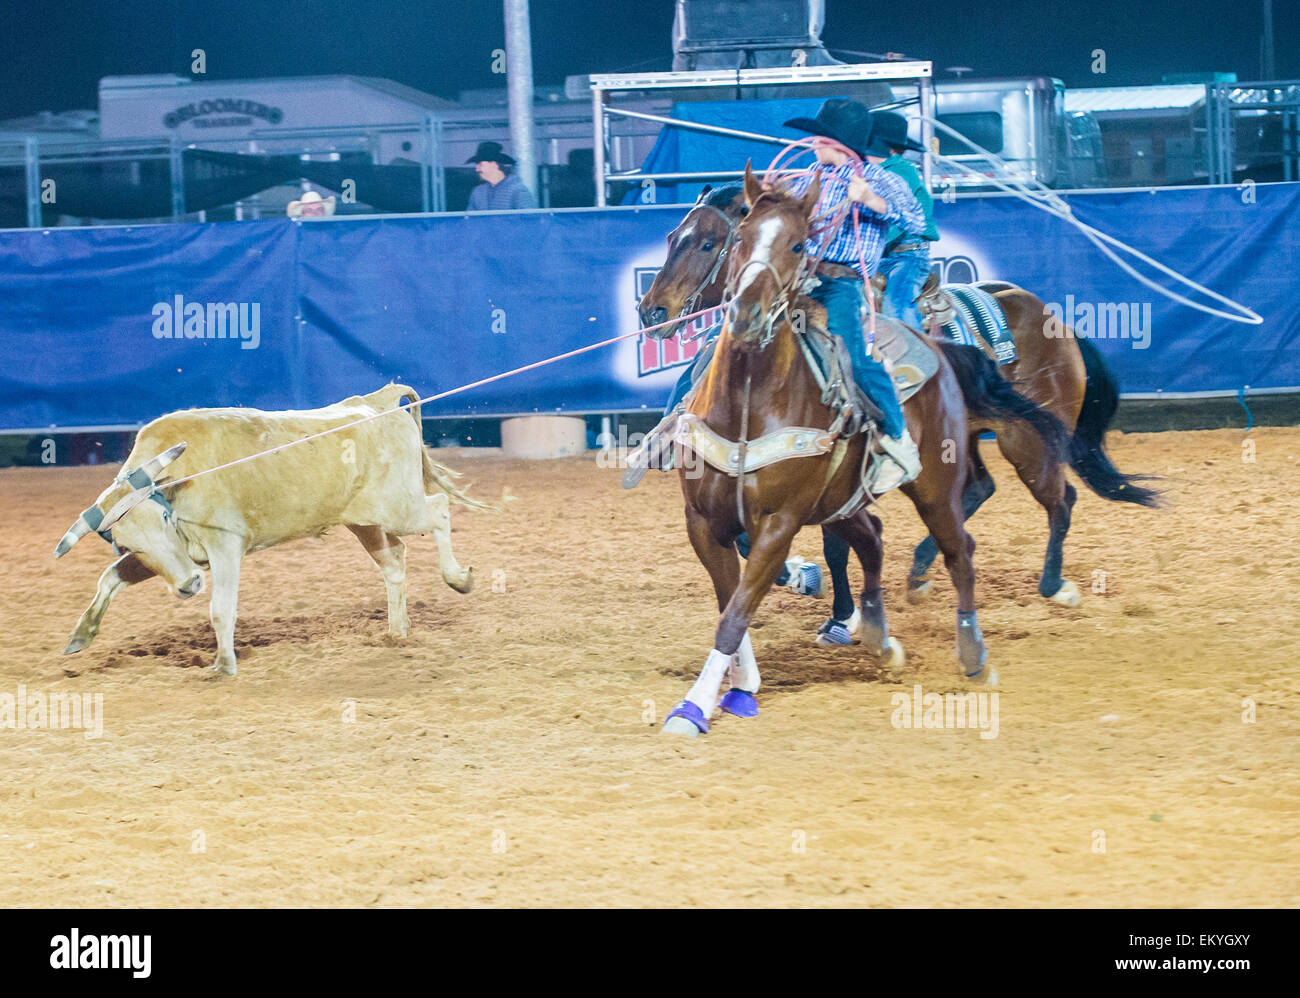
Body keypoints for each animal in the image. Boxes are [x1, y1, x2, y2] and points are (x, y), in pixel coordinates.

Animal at [54, 385, 495, 676]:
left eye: (163, 520)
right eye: (125, 543)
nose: (190, 586)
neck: (179, 483)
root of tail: (375, 403)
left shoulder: (225, 546)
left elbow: (221, 609)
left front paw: (223, 664)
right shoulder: (177, 560)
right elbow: (109, 578)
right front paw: (81, 635)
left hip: (400, 505)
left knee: (438, 510)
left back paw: (458, 578)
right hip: (366, 522)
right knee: (396, 559)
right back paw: (397, 632)